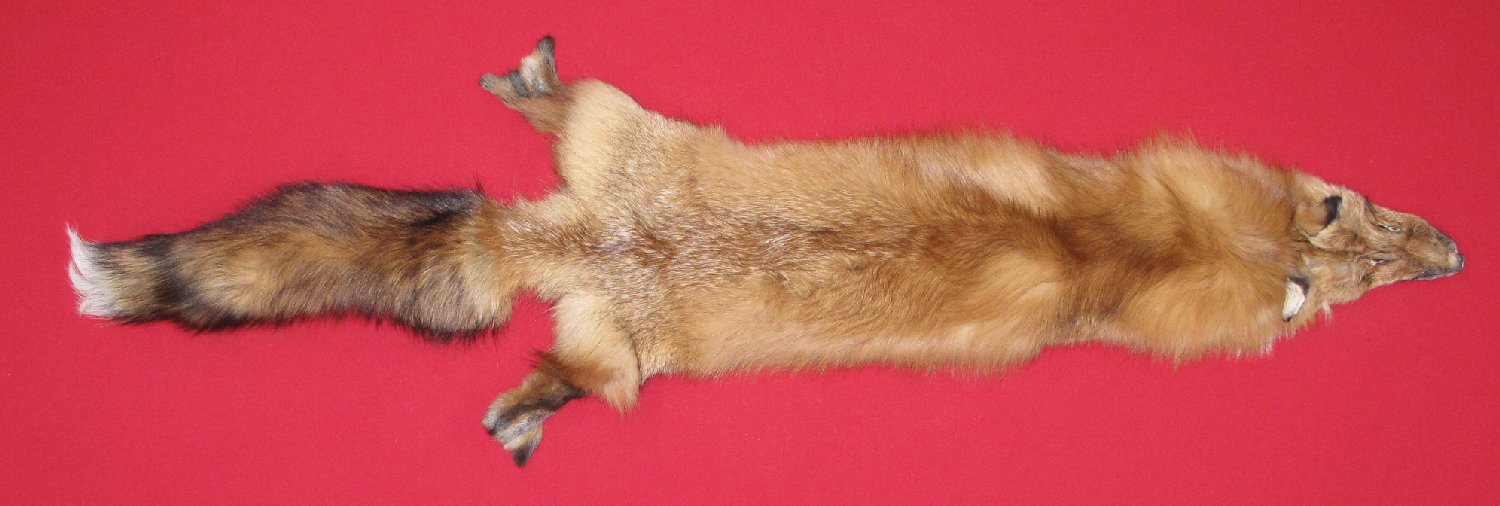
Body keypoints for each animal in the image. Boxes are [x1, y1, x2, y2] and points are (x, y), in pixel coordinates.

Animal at [67, 36, 1464, 466]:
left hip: (622, 130)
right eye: (1349, 270)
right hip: (625, 364)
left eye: (1383, 231)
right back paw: (523, 415)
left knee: (560, 117)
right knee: (575, 380)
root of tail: (553, 240)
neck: (1119, 234)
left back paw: (528, 85)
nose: (1455, 252)